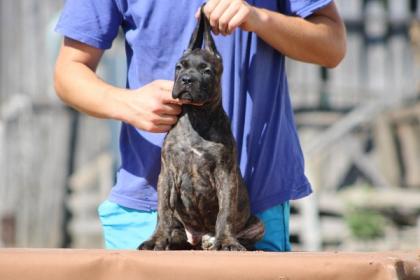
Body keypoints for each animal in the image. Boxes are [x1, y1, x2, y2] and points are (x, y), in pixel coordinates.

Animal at [139, 7, 262, 252]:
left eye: (206, 71)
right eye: (179, 67)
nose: (186, 80)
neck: (196, 116)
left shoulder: (225, 174)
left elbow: (225, 213)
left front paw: (226, 241)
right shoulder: (167, 174)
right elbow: (164, 211)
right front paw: (156, 239)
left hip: (256, 223)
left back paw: (217, 241)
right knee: (178, 232)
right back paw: (178, 241)